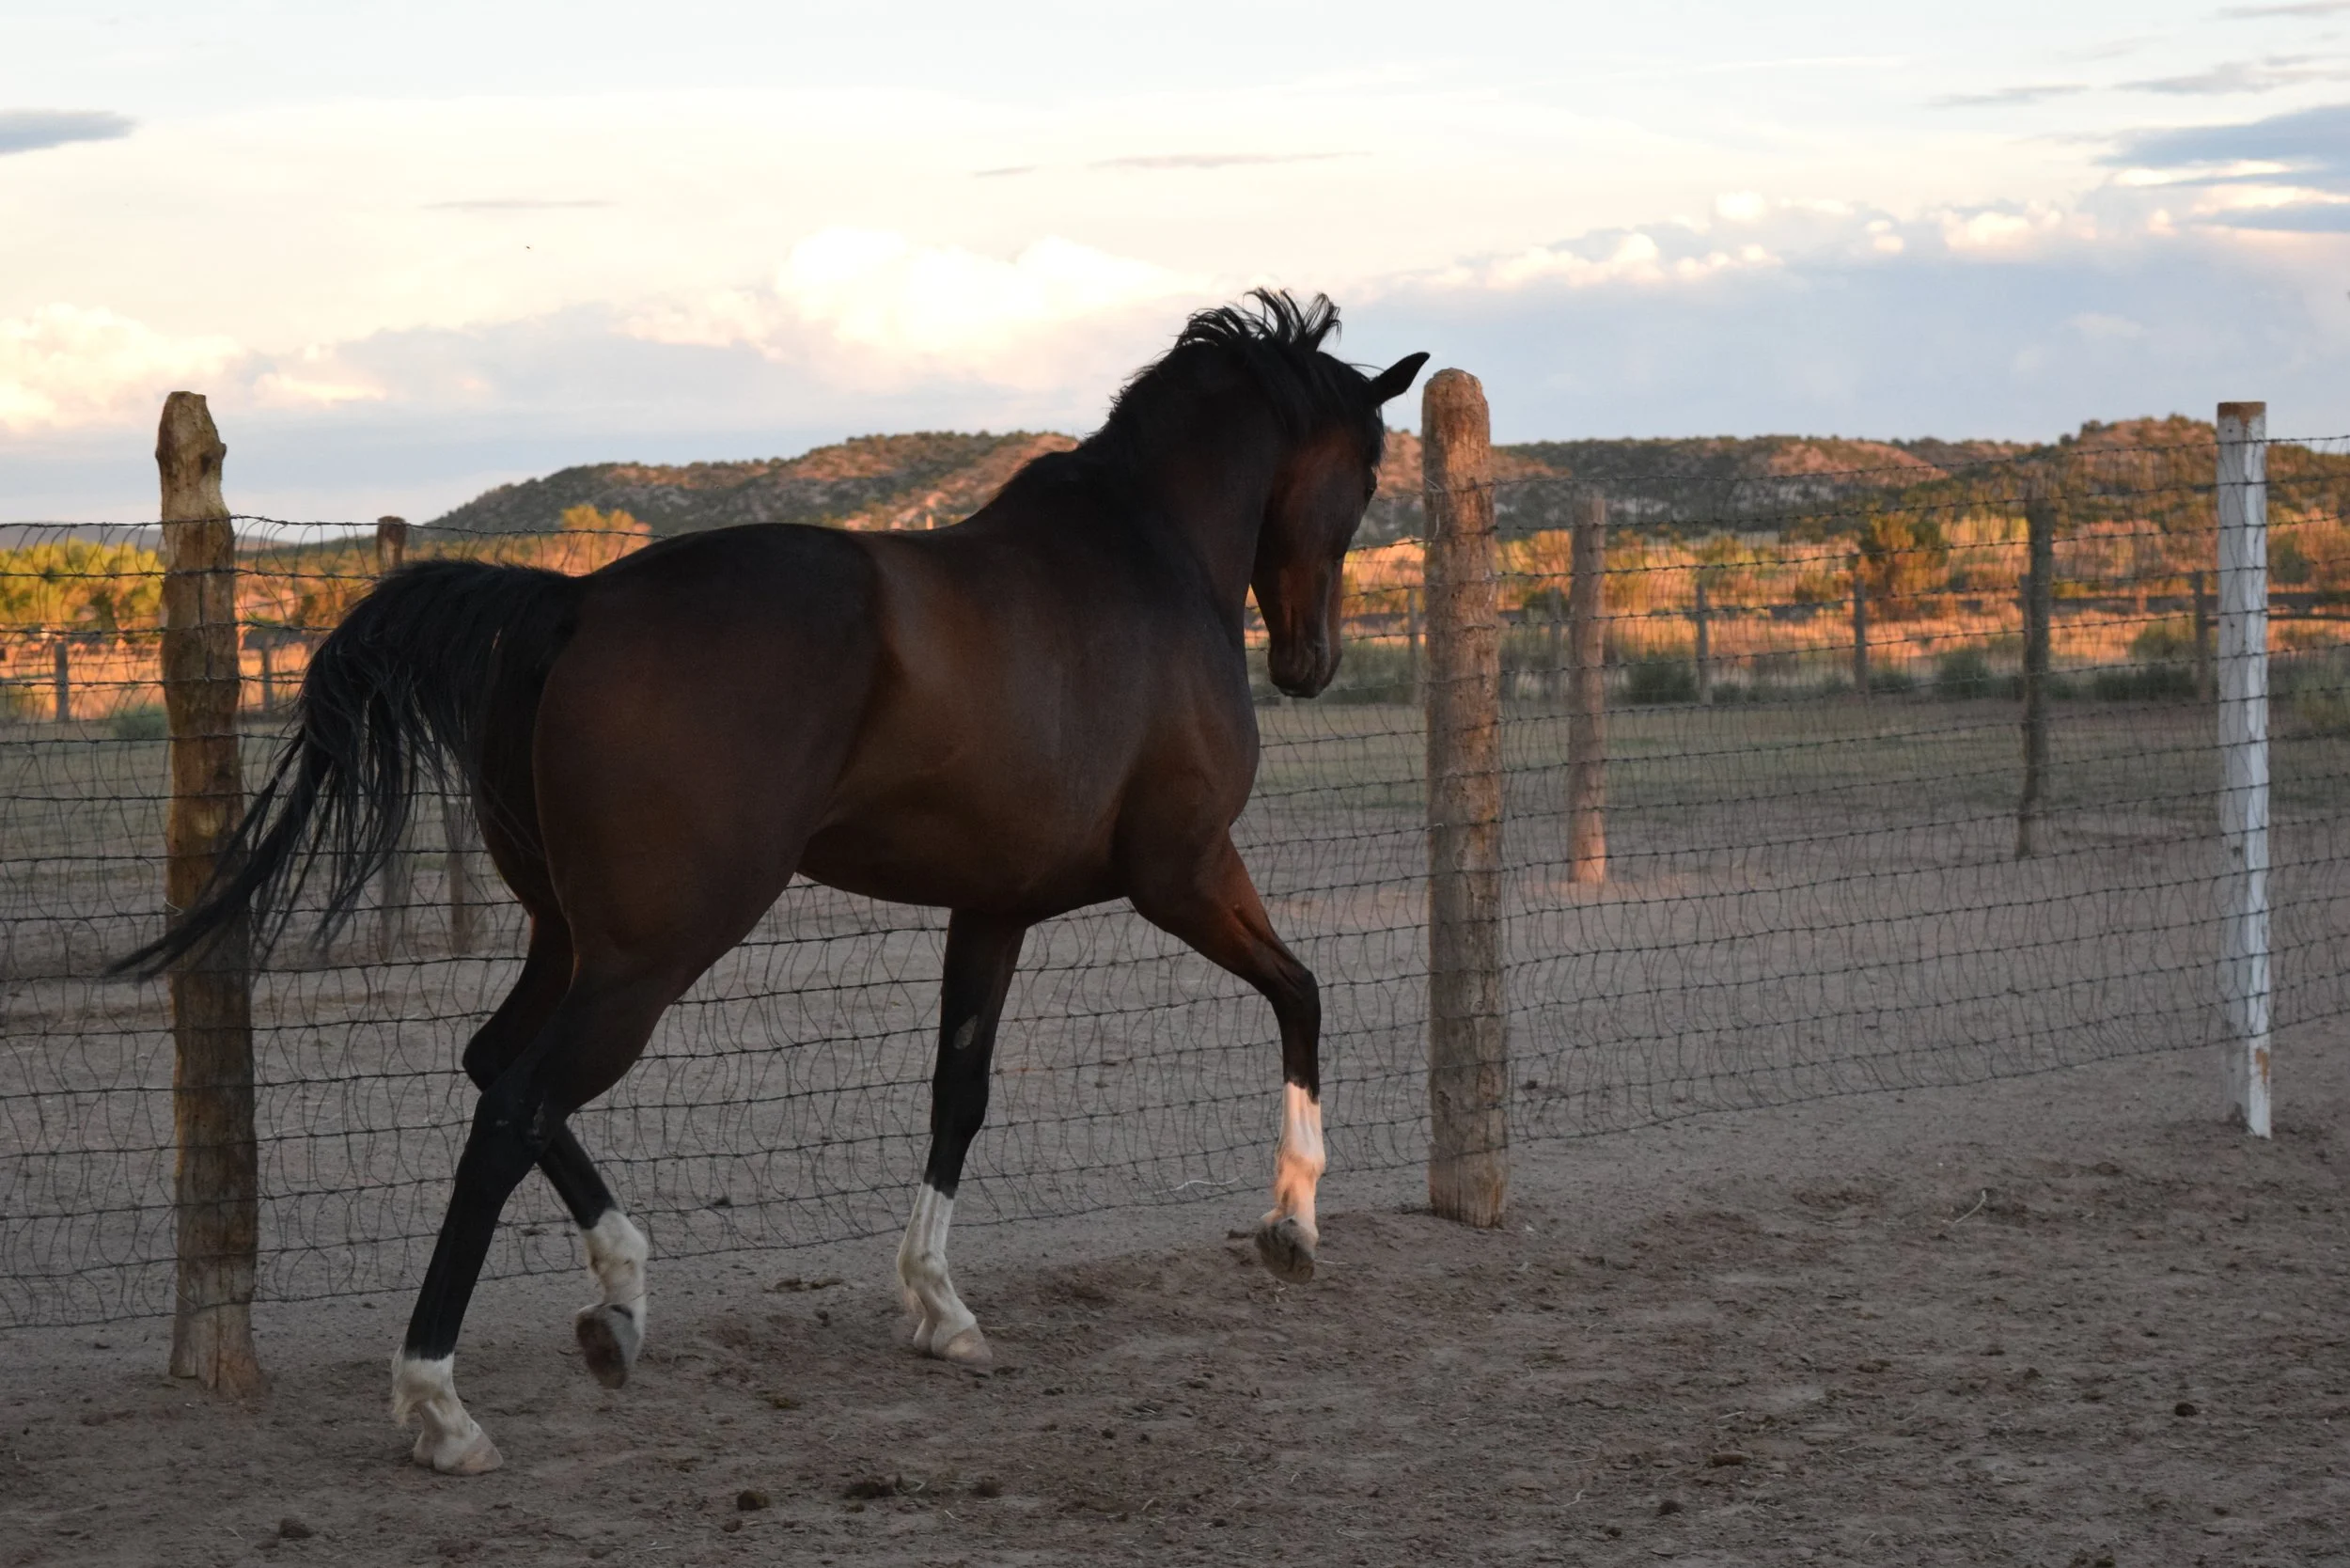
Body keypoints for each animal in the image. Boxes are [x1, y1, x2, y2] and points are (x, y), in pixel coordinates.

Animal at [122, 290, 1427, 1474]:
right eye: (1367, 472)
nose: (1311, 664)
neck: (1145, 560)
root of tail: (575, 600)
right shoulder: (1183, 870)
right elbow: (1302, 992)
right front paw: (1292, 1223)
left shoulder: (994, 907)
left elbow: (958, 1096)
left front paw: (940, 1309)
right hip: (653, 953)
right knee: (513, 1108)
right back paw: (443, 1408)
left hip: (574, 940)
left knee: (497, 1067)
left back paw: (619, 1301)